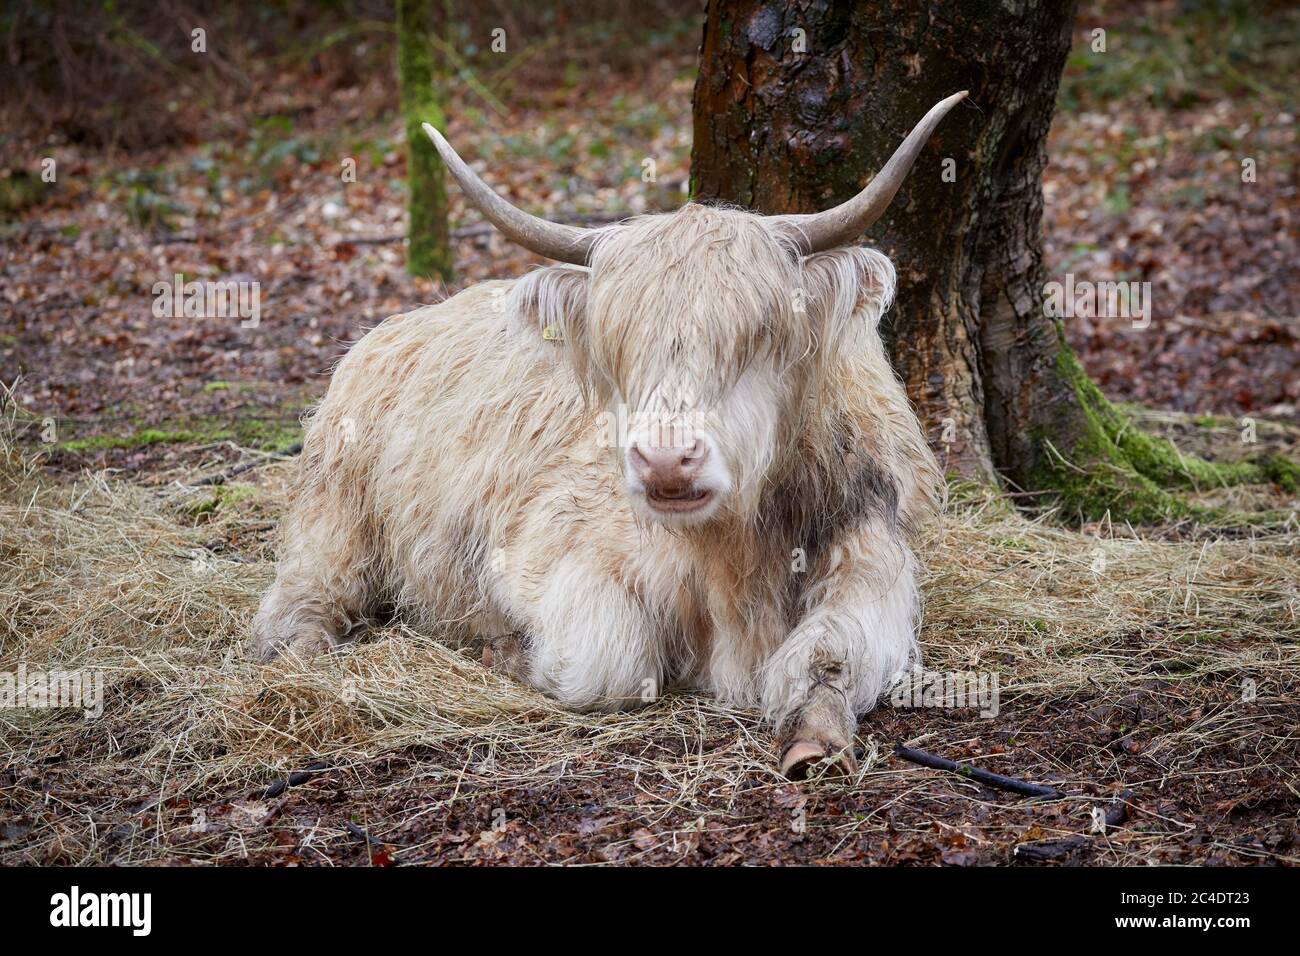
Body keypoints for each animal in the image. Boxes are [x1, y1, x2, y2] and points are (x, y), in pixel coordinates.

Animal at [253, 92, 965, 779]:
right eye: (616, 344)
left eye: (761, 334)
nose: (666, 460)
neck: (736, 557)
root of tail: (390, 328)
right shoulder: (550, 553)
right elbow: (610, 662)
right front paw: (507, 652)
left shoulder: (874, 559)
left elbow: (832, 654)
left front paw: (815, 741)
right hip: (334, 523)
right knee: (303, 600)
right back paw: (296, 655)